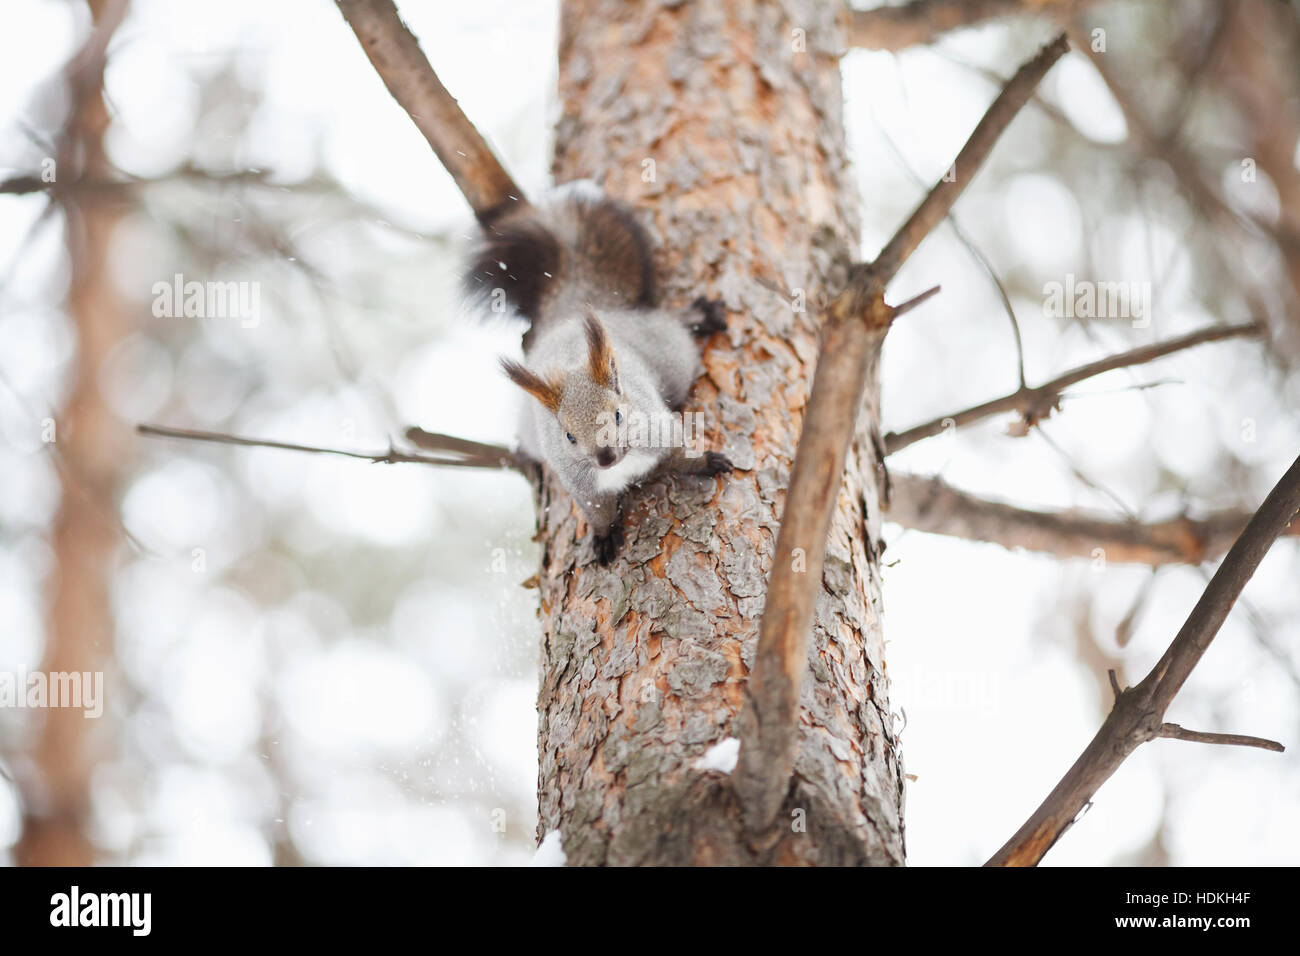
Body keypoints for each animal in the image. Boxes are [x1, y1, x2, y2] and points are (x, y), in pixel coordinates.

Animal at [467, 182, 734, 565]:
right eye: (568, 436)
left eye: (619, 415)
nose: (604, 457)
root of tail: (567, 320)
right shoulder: (581, 486)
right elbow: (599, 513)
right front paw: (604, 537)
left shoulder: (659, 428)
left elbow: (679, 455)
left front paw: (705, 462)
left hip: (671, 358)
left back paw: (698, 316)